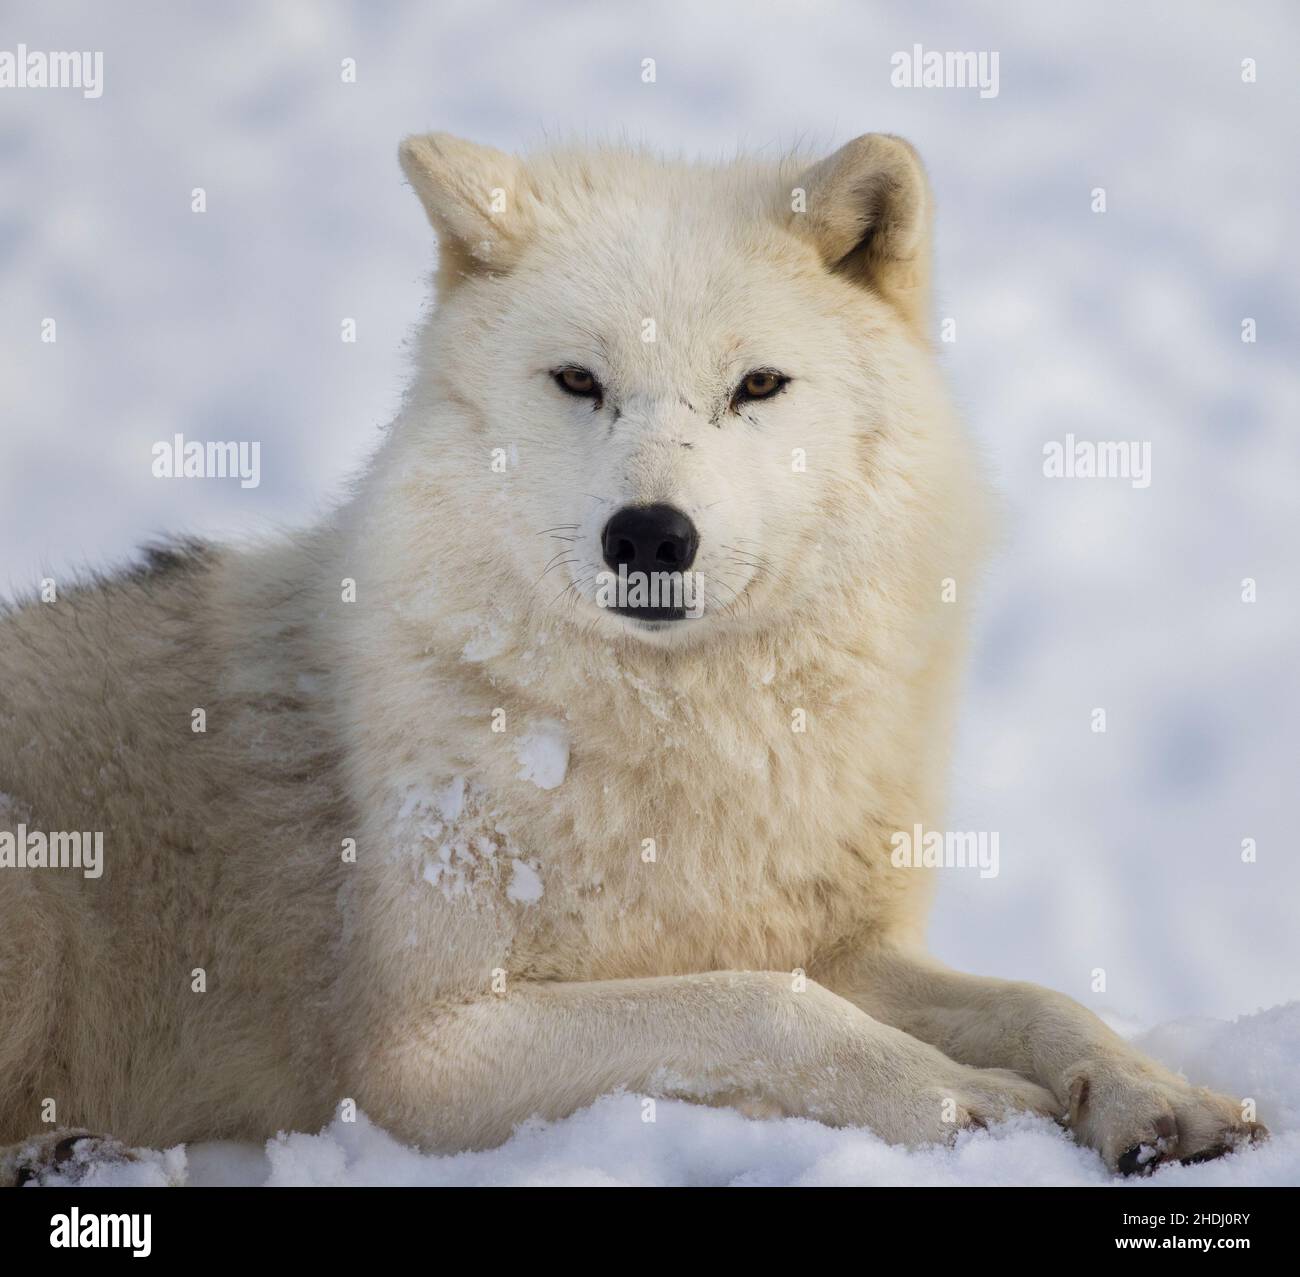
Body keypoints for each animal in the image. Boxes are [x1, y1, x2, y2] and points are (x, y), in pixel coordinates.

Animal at [0, 132, 1264, 1182]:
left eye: (757, 385)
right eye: (578, 381)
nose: (650, 535)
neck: (689, 739)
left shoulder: (838, 943)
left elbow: (1038, 1001)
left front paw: (1154, 1096)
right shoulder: (425, 1046)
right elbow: (761, 1005)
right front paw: (966, 1104)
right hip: (36, 901)